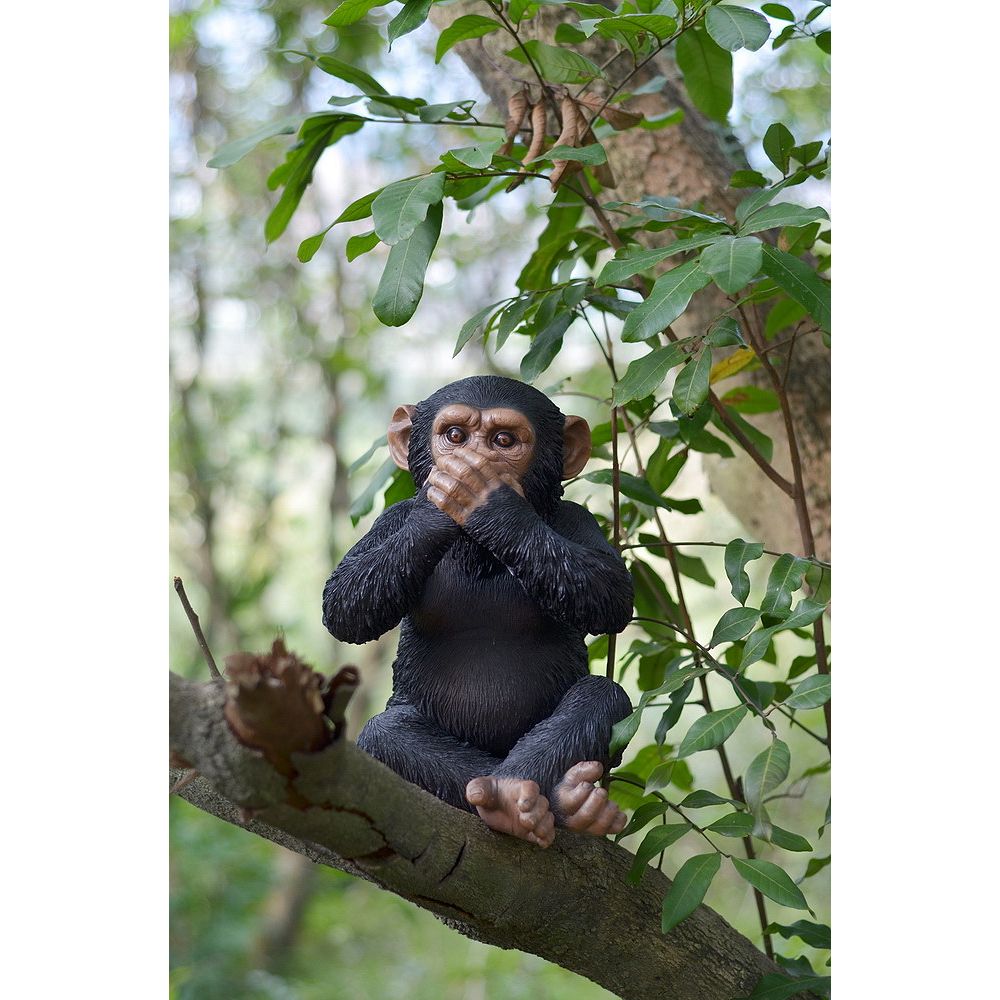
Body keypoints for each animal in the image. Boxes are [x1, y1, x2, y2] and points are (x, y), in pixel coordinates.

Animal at [322, 376, 634, 848]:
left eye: (503, 440)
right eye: (455, 436)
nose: (476, 459)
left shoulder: (576, 519)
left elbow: (609, 588)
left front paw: (489, 500)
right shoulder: (390, 519)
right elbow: (343, 600)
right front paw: (440, 504)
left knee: (602, 698)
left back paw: (541, 798)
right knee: (386, 733)